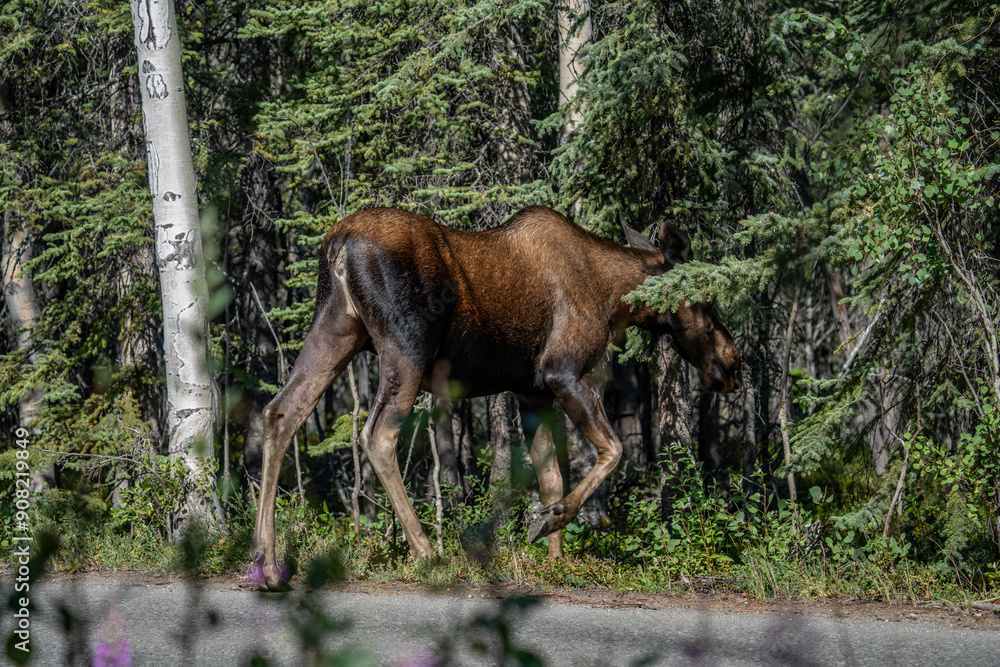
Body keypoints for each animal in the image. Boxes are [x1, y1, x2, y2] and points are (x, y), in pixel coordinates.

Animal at [249, 205, 741, 590]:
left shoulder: (532, 392)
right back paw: (426, 551)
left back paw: (266, 564)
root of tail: (338, 245)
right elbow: (612, 450)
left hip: (336, 329)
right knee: (378, 434)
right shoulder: (566, 372)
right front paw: (549, 519)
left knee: (280, 412)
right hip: (406, 345)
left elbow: (550, 475)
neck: (617, 301)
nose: (732, 362)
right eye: (704, 299)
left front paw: (555, 559)